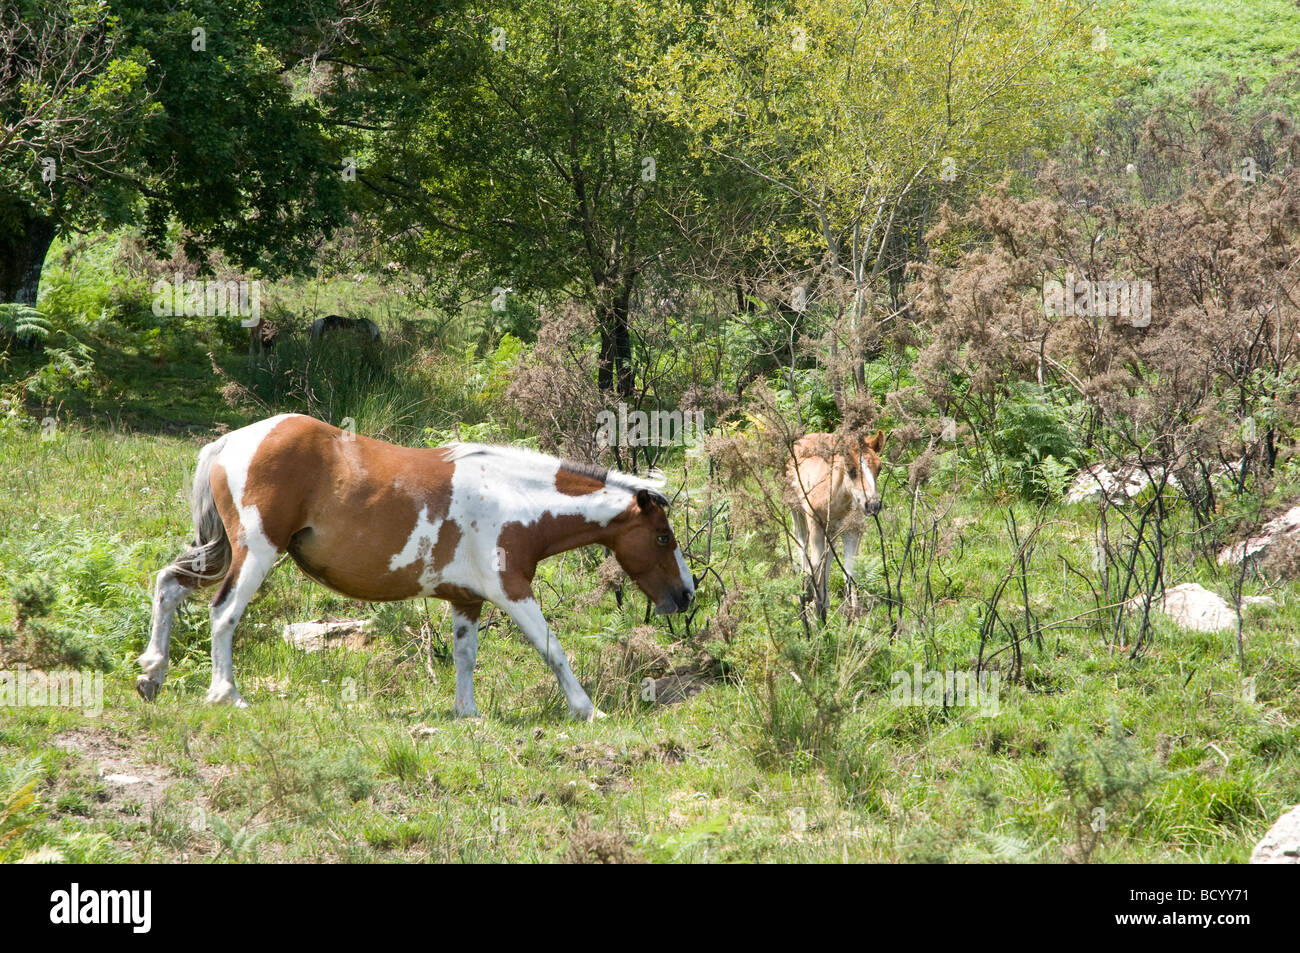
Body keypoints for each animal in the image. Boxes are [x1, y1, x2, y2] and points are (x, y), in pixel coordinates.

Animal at [137, 413, 694, 721]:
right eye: (663, 537)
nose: (686, 595)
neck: (514, 499)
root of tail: (232, 442)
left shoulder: (467, 600)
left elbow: (466, 657)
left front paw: (467, 713)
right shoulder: (513, 591)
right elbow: (552, 649)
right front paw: (587, 708)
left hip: (223, 552)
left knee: (169, 585)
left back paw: (152, 674)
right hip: (256, 553)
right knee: (223, 613)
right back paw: (225, 694)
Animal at [786, 428, 886, 619]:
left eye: (879, 468)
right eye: (851, 470)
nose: (873, 505)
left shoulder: (852, 531)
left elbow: (849, 571)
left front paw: (852, 614)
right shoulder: (816, 527)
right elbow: (815, 565)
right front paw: (815, 609)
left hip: (832, 531)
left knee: (828, 559)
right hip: (796, 510)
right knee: (801, 545)